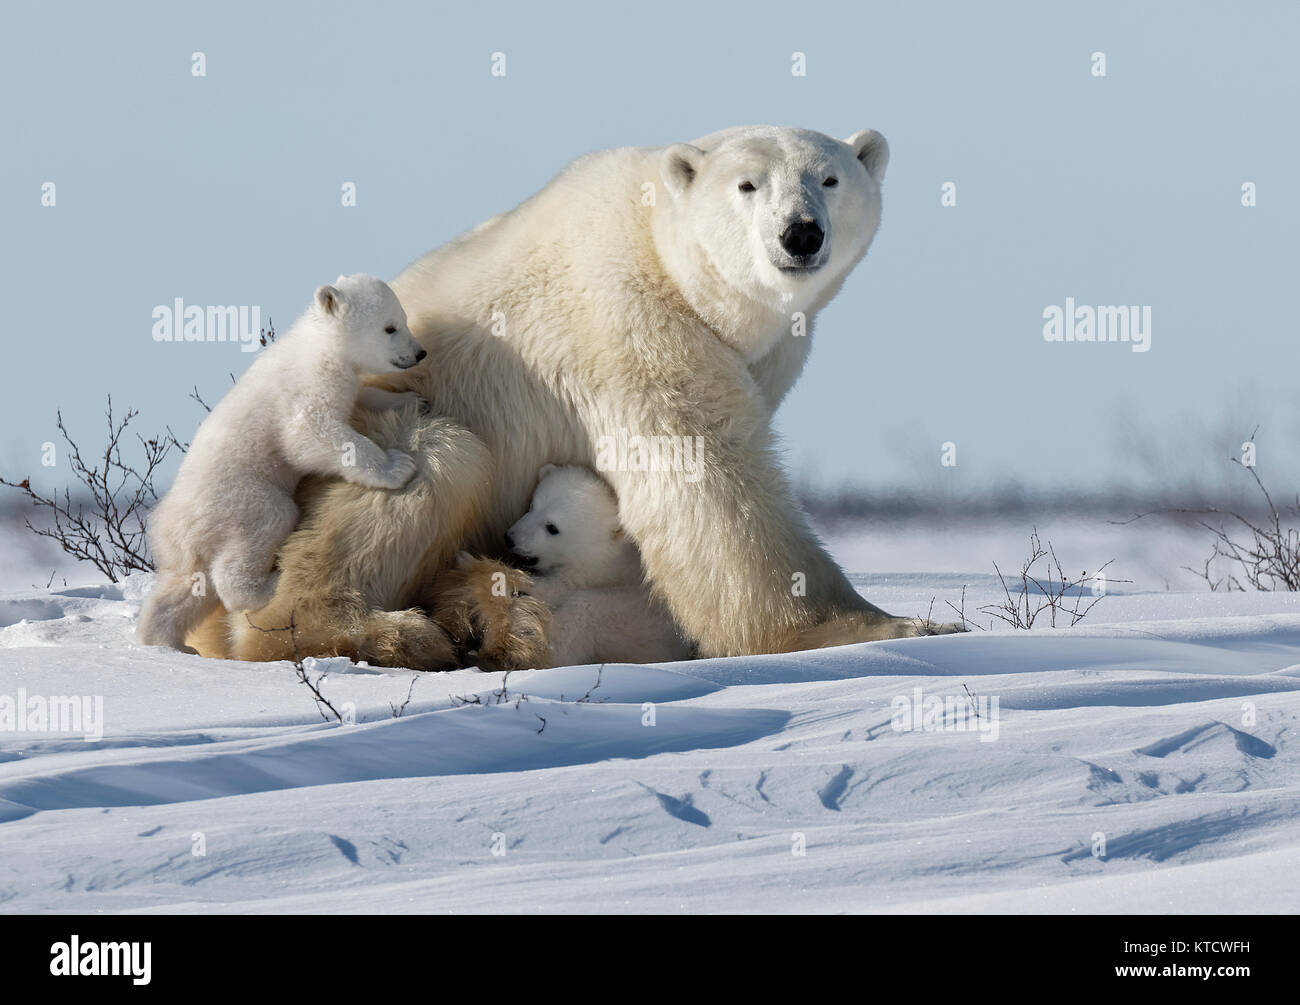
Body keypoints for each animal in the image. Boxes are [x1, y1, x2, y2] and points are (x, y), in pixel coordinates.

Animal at [137, 273, 428, 651]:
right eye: (390, 327)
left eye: (403, 318)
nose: (420, 352)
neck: (320, 344)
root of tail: (172, 527)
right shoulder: (308, 387)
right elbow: (310, 434)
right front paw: (397, 467)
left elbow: (362, 398)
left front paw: (413, 399)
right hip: (241, 500)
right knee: (264, 526)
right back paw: (268, 584)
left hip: (190, 546)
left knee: (186, 586)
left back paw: (166, 642)